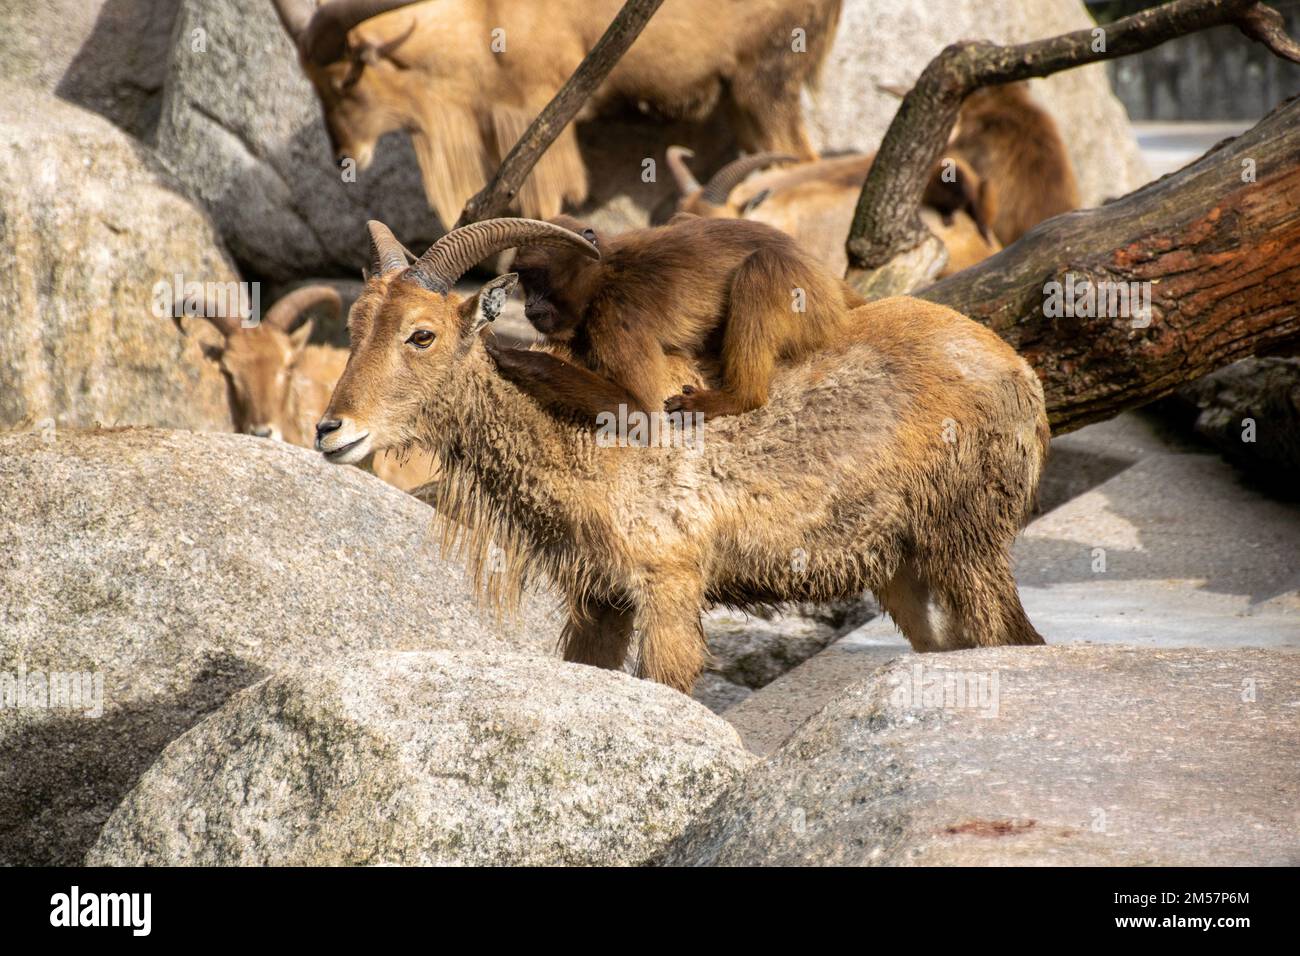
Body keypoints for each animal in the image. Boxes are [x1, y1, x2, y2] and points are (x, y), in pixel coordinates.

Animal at [488, 214, 865, 422]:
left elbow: (636, 410)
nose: (528, 306)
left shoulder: (615, 314)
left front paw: (518, 359)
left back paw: (740, 397)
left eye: (536, 279)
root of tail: (830, 278)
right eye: (526, 283)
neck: (605, 272)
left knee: (762, 265)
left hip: (812, 303)